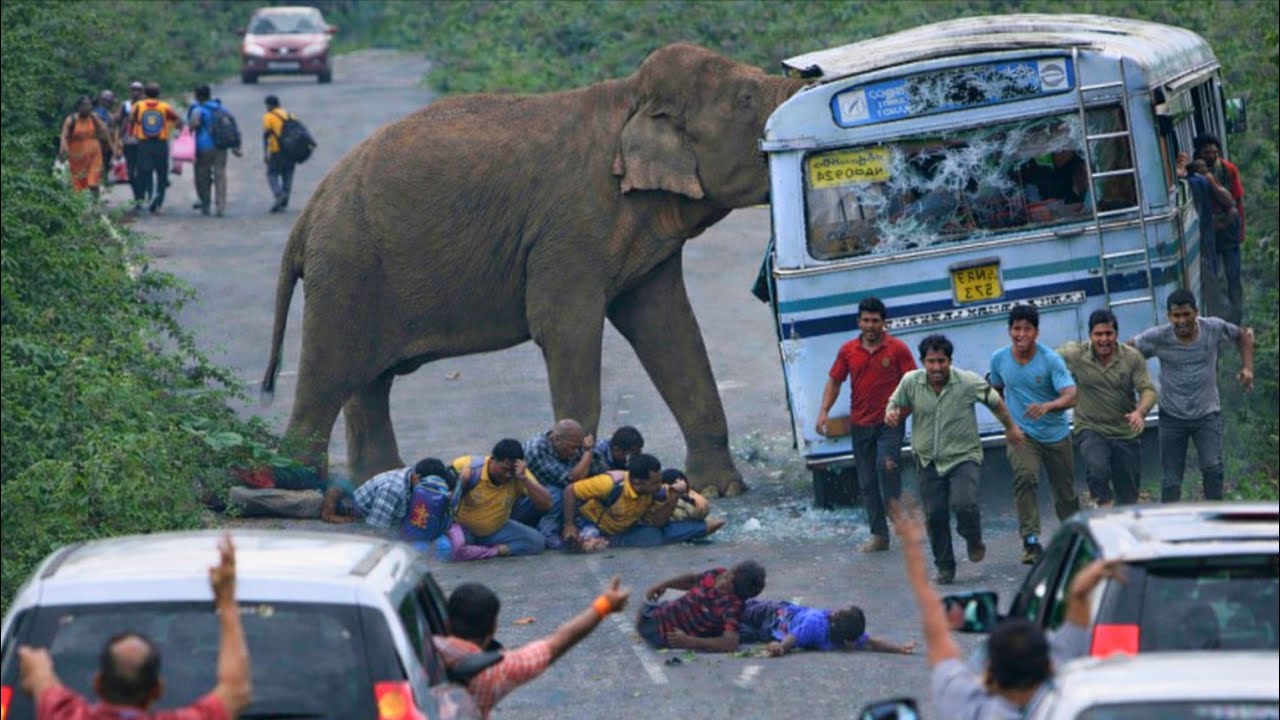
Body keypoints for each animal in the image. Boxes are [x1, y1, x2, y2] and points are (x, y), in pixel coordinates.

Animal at [261, 43, 806, 495]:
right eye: (746, 99)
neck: (627, 98)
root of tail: (310, 211)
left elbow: (670, 332)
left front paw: (720, 490)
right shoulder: (570, 229)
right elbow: (566, 329)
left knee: (368, 383)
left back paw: (377, 480)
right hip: (346, 266)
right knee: (328, 376)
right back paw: (297, 493)